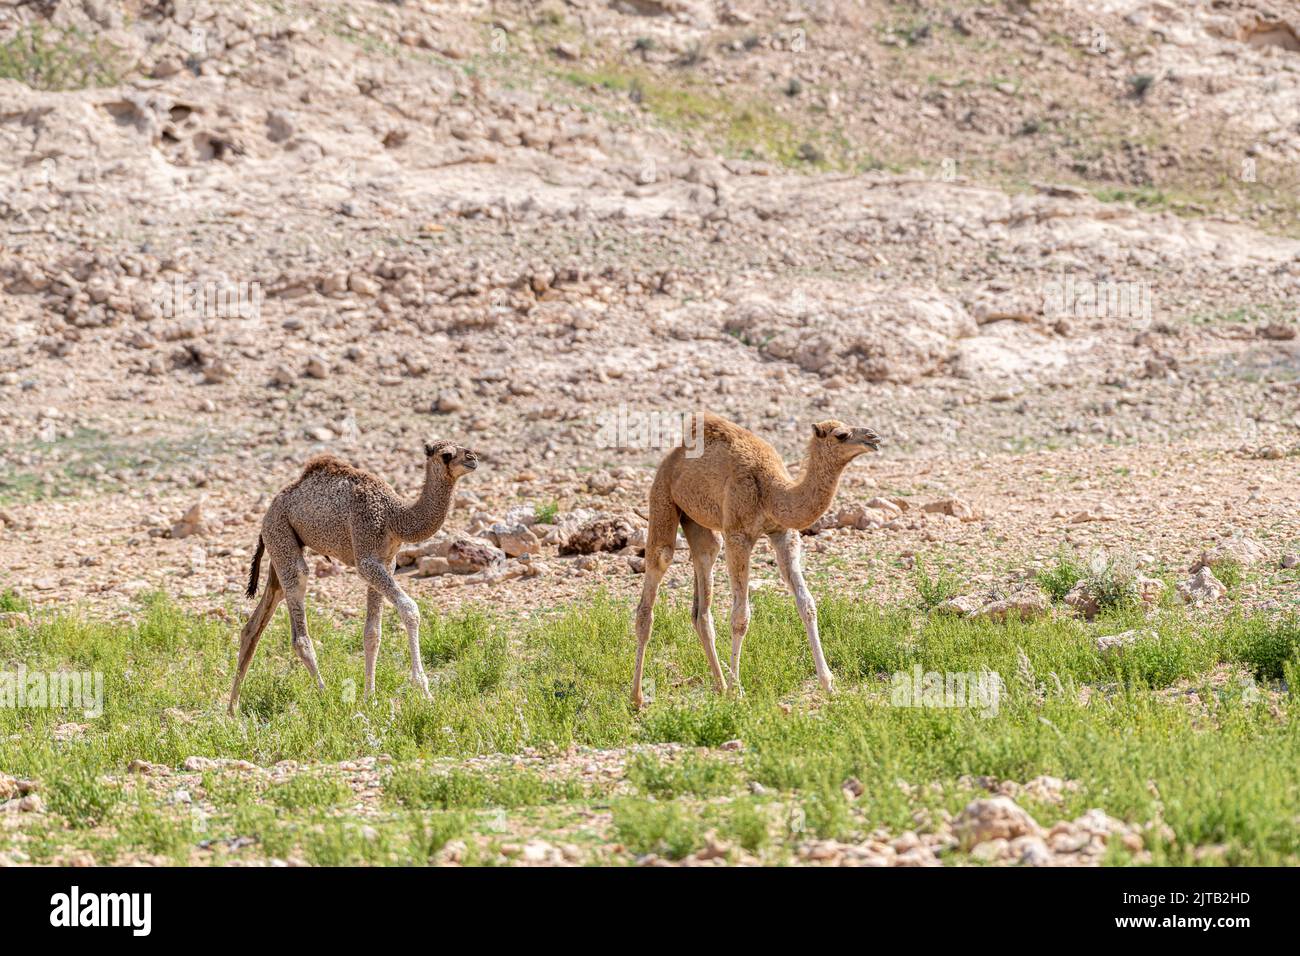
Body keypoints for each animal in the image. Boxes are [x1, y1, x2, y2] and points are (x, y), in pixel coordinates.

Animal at [227, 440, 479, 715]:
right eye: (446, 455)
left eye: (463, 447)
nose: (473, 458)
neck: (395, 517)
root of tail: (269, 511)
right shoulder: (366, 557)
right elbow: (409, 609)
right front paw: (424, 691)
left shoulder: (386, 561)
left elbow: (372, 633)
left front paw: (371, 698)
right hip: (280, 532)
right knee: (299, 627)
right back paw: (326, 697)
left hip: (280, 550)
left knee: (256, 622)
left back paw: (232, 710)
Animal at [632, 414, 880, 708]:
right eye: (841, 435)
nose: (874, 437)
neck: (772, 491)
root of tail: (673, 455)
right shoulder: (738, 534)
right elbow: (740, 616)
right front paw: (737, 691)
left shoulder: (783, 533)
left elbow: (806, 604)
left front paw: (829, 685)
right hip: (663, 497)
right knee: (657, 568)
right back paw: (637, 697)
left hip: (697, 522)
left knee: (702, 592)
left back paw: (719, 685)